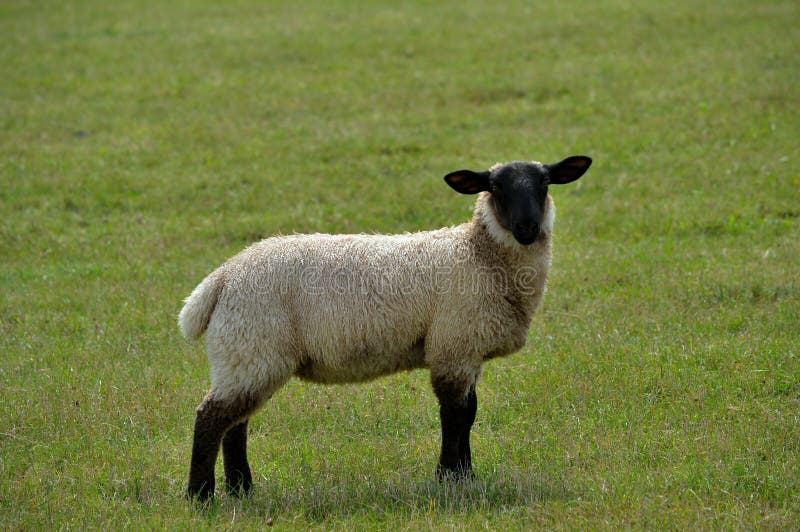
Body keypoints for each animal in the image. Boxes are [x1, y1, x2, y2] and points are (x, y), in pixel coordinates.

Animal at [179, 155, 592, 500]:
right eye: (496, 187)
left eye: (544, 184)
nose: (527, 227)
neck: (477, 254)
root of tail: (220, 280)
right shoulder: (453, 345)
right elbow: (454, 416)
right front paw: (449, 477)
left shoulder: (466, 350)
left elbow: (470, 413)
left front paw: (467, 476)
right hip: (251, 346)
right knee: (211, 419)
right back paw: (201, 496)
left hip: (245, 355)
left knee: (235, 426)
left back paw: (241, 491)